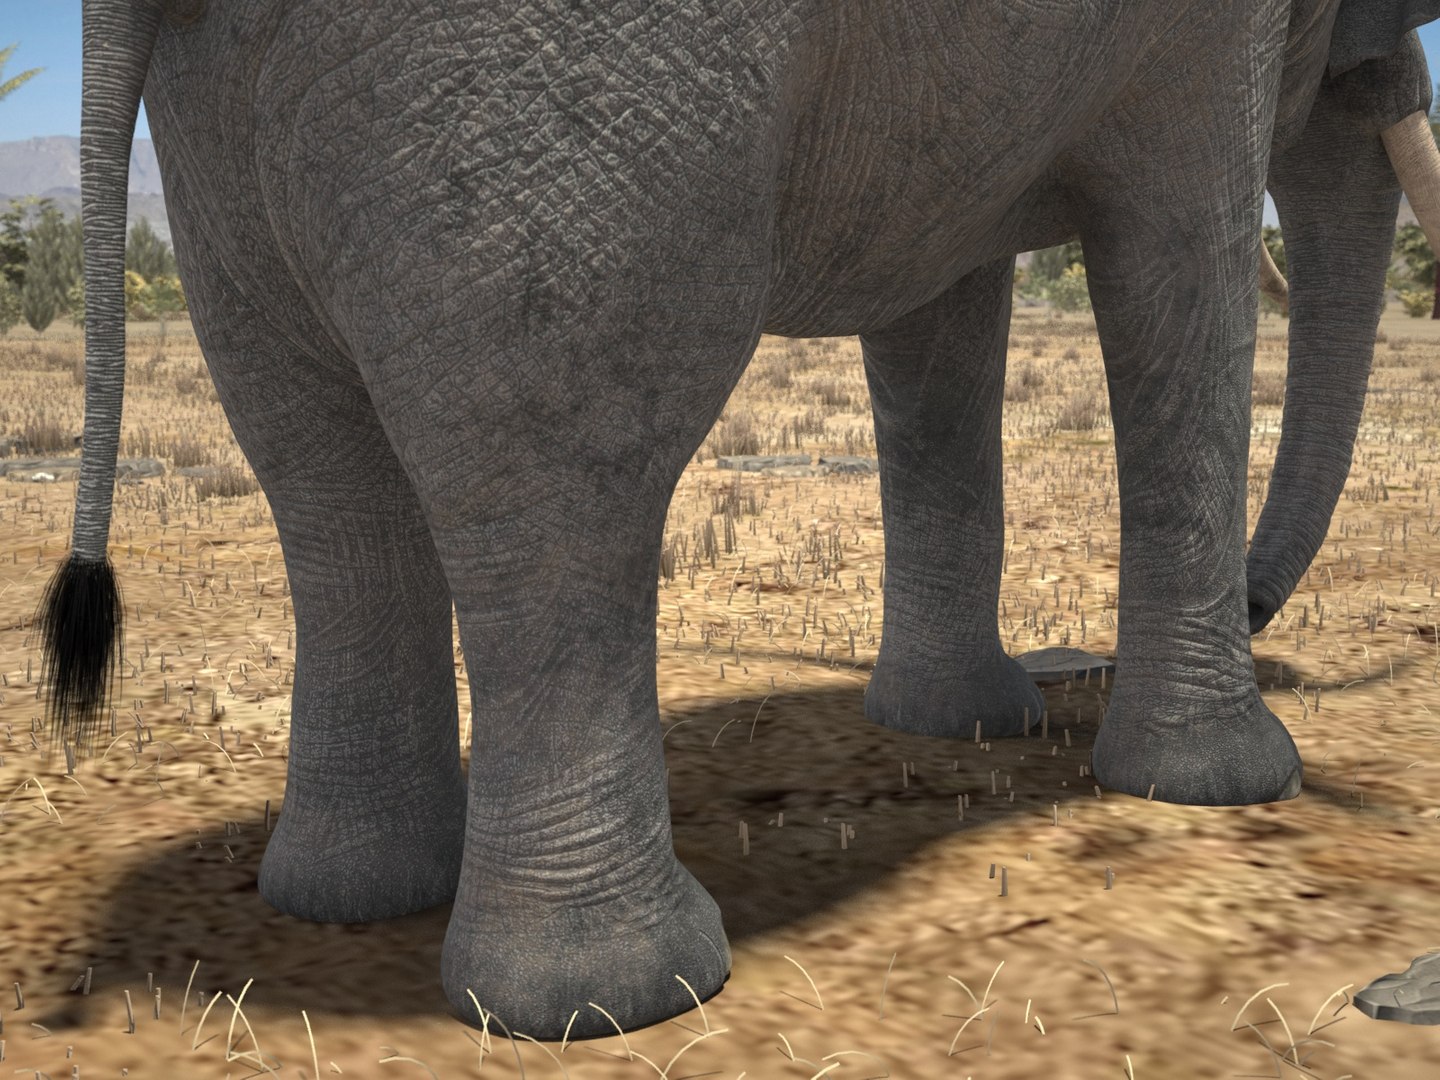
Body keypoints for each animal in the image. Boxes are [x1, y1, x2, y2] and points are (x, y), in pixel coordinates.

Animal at [32, 0, 1440, 1043]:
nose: (1258, 603)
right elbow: (1181, 261)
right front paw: (1230, 787)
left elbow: (939, 319)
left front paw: (965, 728)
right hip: (528, 100)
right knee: (562, 452)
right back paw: (627, 1000)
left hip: (221, 126)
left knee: (320, 468)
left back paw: (345, 901)